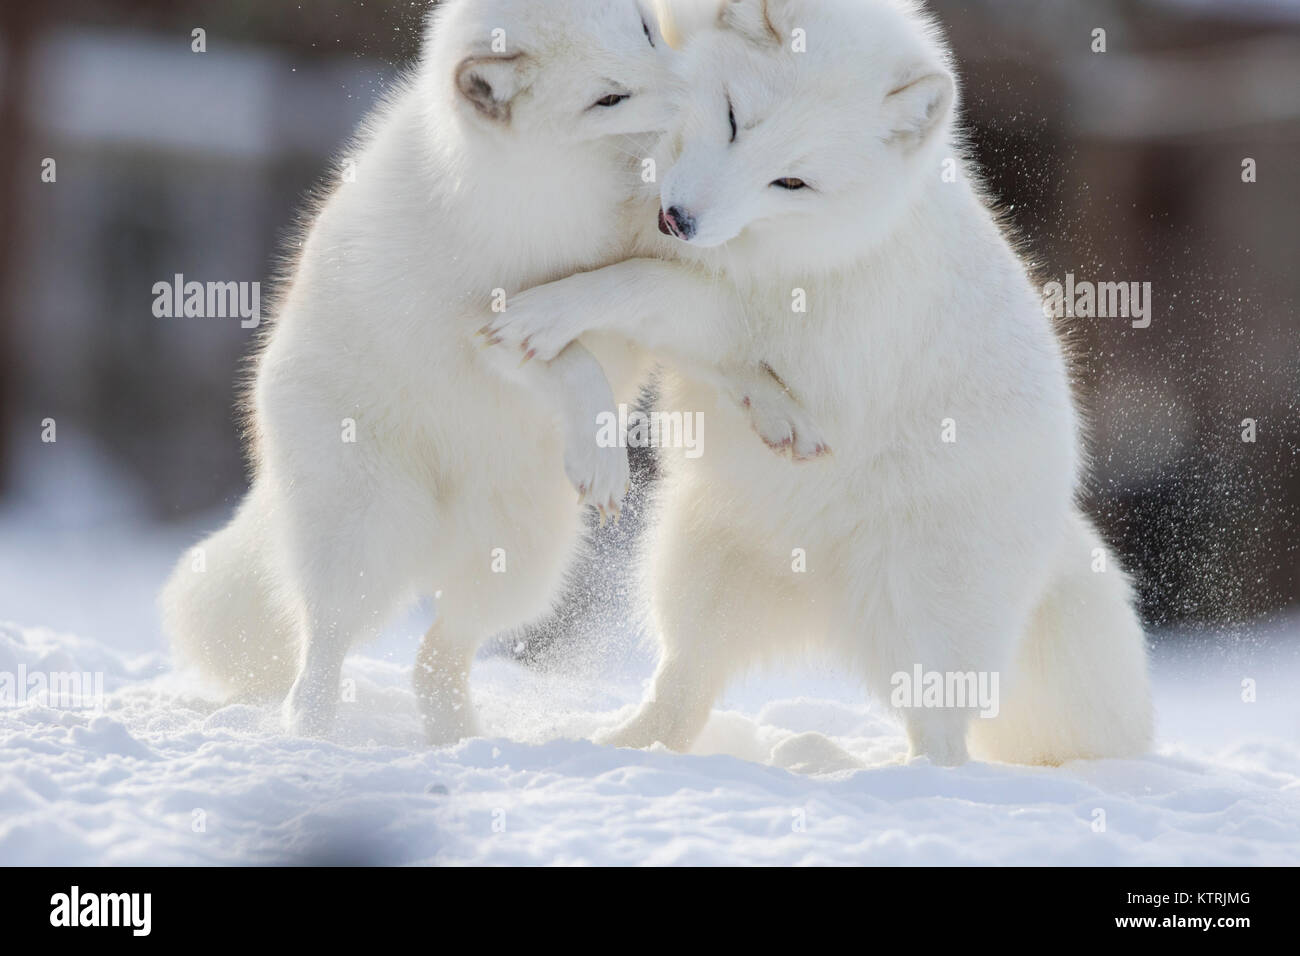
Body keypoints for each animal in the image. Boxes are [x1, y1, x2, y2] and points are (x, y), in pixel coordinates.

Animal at [159, 0, 809, 742]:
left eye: (647, 31)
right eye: (607, 99)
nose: (699, 105)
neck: (585, 180)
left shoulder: (644, 283)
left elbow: (707, 348)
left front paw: (775, 406)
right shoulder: (488, 327)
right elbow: (578, 368)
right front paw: (604, 456)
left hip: (525, 560)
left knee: (438, 653)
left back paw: (459, 740)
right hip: (364, 528)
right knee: (325, 635)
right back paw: (312, 727)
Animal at [483, 0, 1154, 766]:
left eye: (793, 182)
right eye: (733, 117)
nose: (680, 221)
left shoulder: (757, 313)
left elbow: (647, 284)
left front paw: (545, 312)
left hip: (927, 609)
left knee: (941, 743)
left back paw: (843, 765)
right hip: (692, 563)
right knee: (683, 690)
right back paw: (625, 746)